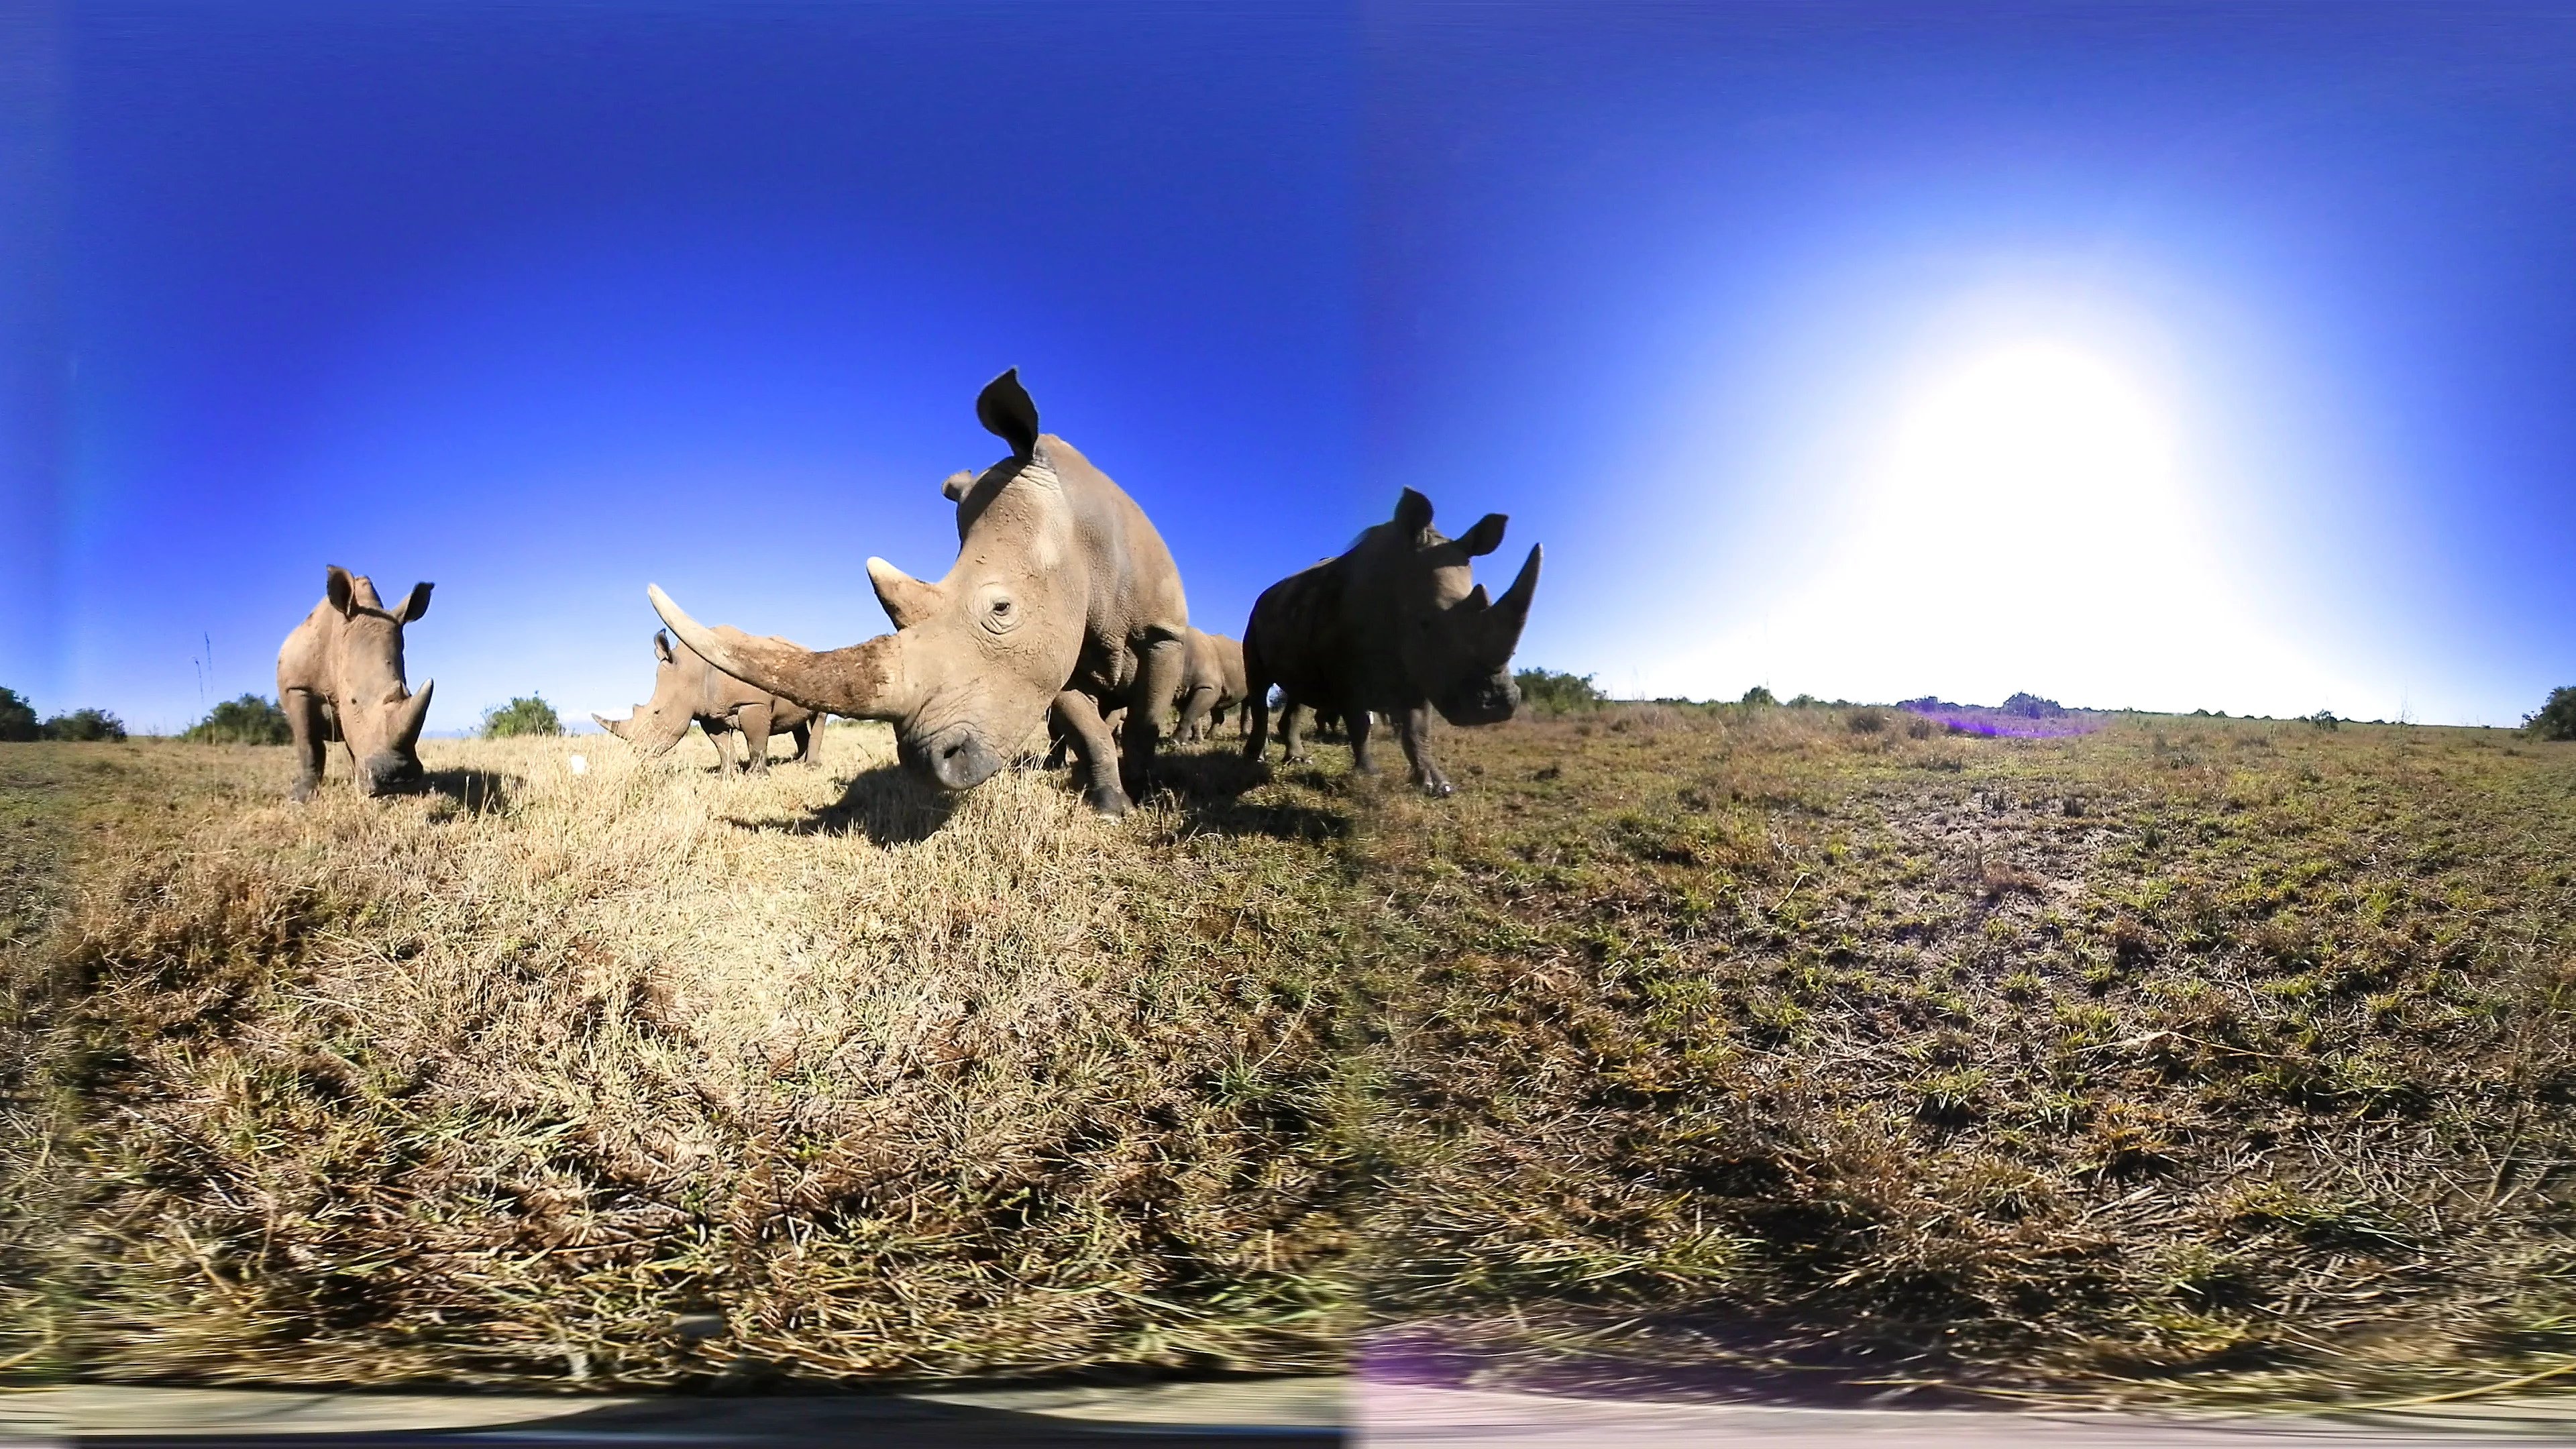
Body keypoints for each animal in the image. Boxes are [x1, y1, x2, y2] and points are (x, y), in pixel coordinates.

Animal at [276, 565, 435, 801]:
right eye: (353, 701)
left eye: (408, 693)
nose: (399, 780)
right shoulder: (297, 687)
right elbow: (309, 745)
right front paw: (300, 798)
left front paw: (360, 787)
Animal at [591, 629, 824, 774]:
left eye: (657, 713)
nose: (639, 753)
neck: (692, 667)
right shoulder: (708, 712)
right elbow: (722, 744)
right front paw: (725, 775)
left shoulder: (753, 703)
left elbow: (756, 741)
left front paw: (756, 776)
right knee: (797, 723)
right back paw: (797, 762)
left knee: (819, 717)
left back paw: (811, 767)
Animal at [648, 369, 1189, 816]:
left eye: (1002, 608)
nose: (929, 764)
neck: (1076, 526)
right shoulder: (1054, 649)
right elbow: (1088, 726)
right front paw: (1113, 804)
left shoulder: (1165, 631)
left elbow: (1145, 719)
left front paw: (1140, 796)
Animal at [1172, 628, 1248, 743]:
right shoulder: (1182, 691)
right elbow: (1191, 713)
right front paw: (1196, 740)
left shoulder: (1207, 686)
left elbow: (1189, 713)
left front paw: (1176, 741)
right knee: (1218, 703)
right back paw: (1210, 737)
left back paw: (1243, 737)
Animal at [1243, 489, 1539, 796]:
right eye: (1424, 623)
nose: (1493, 708)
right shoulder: (1346, 669)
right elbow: (1360, 723)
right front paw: (1368, 776)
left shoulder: (1420, 665)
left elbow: (1418, 727)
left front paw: (1437, 785)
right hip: (1254, 618)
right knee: (1259, 683)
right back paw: (1254, 759)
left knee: (1298, 688)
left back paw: (1298, 760)